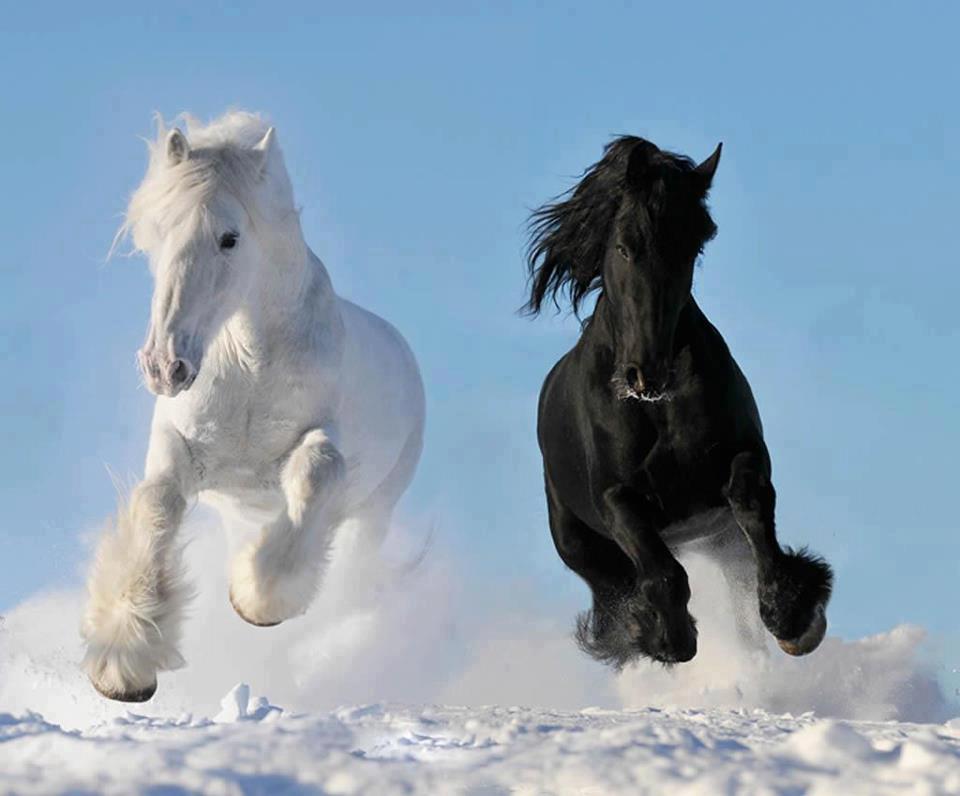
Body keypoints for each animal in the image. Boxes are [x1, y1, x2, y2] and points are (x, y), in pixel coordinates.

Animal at [82, 112, 425, 702]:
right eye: (157, 232)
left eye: (229, 238)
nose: (164, 365)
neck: (248, 367)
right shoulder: (181, 452)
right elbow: (157, 505)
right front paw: (125, 665)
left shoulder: (319, 442)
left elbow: (316, 472)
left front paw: (258, 601)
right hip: (239, 514)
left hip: (374, 511)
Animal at [525, 137, 833, 668]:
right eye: (624, 246)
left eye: (692, 246)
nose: (646, 372)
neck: (656, 408)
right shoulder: (617, 498)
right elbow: (662, 573)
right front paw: (667, 635)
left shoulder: (742, 456)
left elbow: (752, 507)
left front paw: (793, 618)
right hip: (581, 545)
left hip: (717, 537)